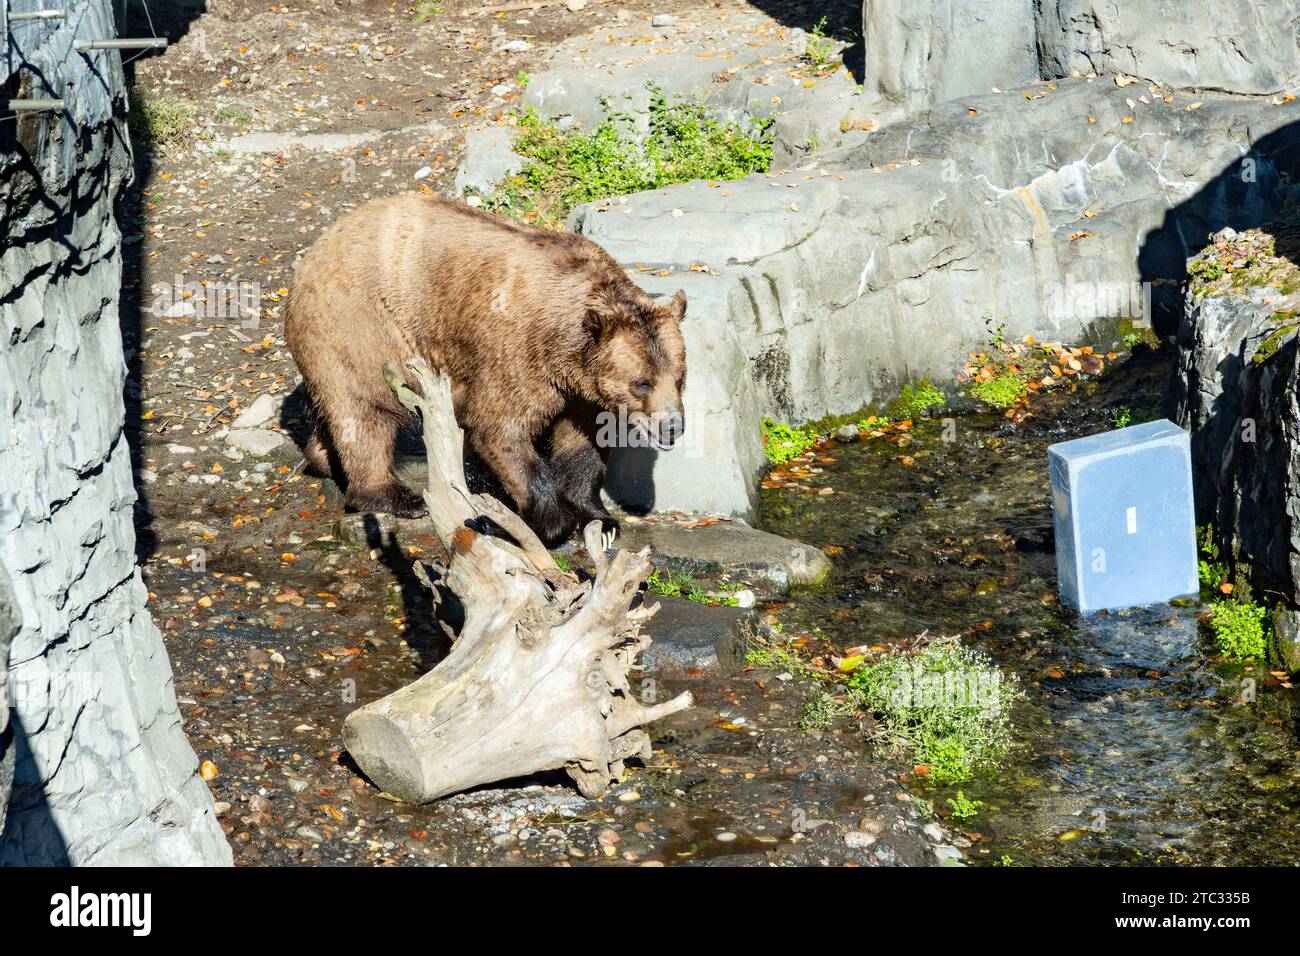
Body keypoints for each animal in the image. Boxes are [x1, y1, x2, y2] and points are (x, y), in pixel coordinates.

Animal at [284, 193, 687, 546]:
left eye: (679, 378)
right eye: (642, 383)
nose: (672, 427)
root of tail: (314, 250)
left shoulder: (580, 388)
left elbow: (582, 442)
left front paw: (600, 520)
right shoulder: (518, 355)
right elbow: (501, 430)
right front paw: (545, 522)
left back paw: (323, 458)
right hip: (359, 325)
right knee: (365, 411)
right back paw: (396, 496)